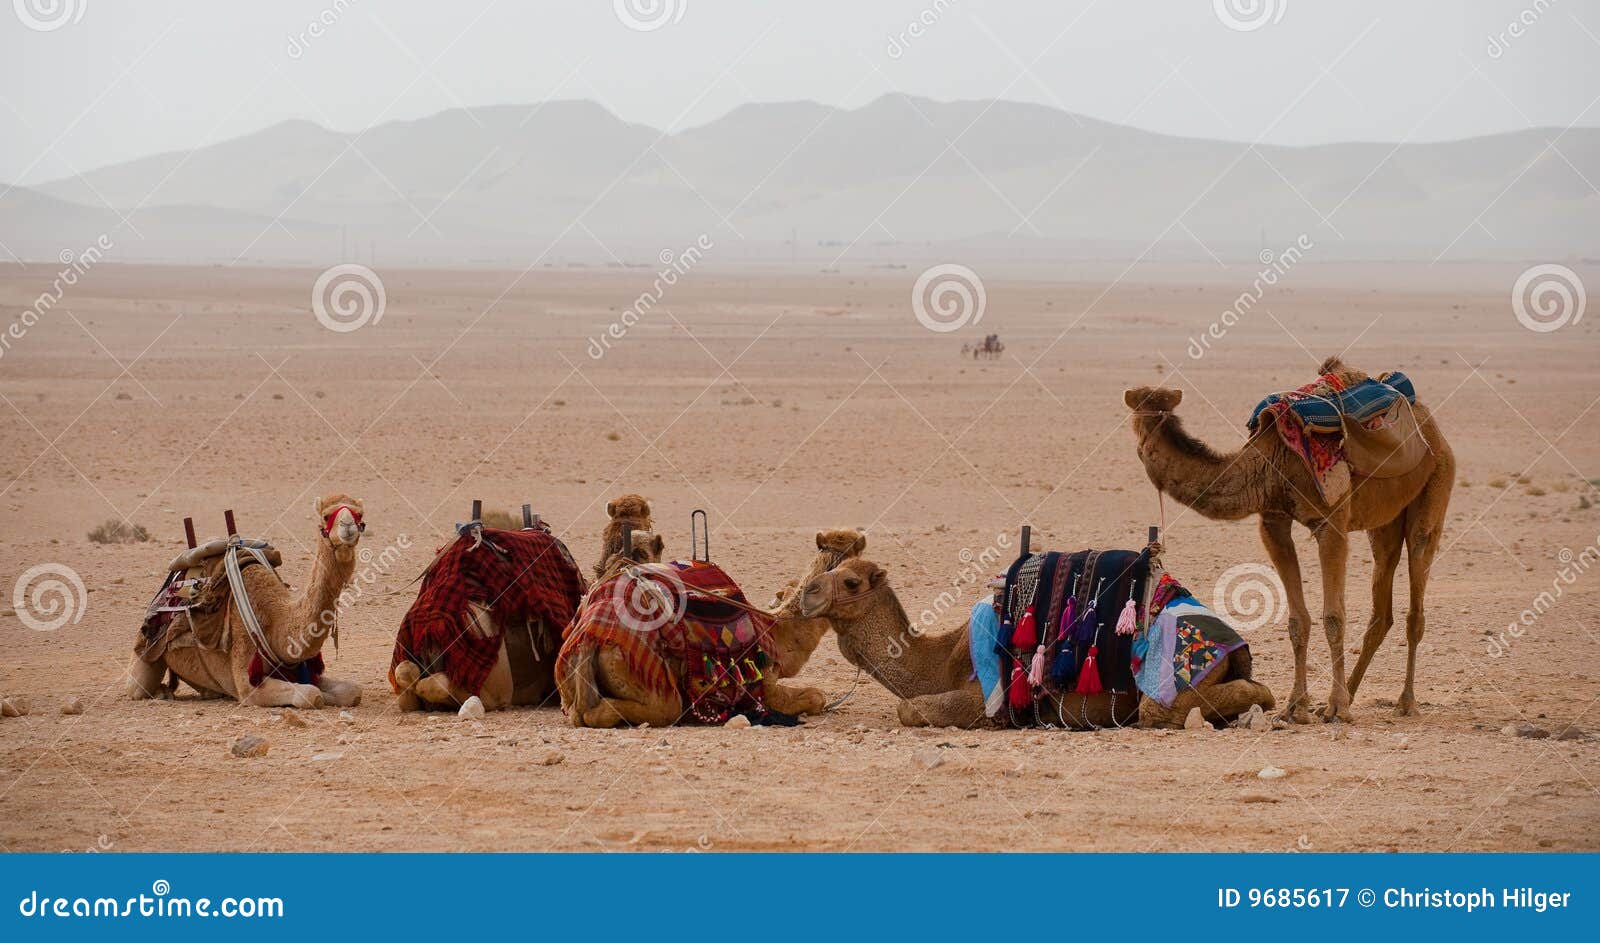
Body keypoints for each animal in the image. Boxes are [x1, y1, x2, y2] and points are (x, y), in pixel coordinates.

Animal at [126, 495, 366, 709]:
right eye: (326, 516)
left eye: (359, 514)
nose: (348, 526)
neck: (276, 619)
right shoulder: (246, 682)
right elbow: (311, 695)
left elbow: (353, 691)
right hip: (145, 651)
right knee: (137, 687)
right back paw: (162, 692)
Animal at [557, 529, 865, 728]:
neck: (774, 629)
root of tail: (589, 638)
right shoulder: (763, 684)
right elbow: (816, 696)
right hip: (643, 675)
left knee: (576, 711)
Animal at [799, 557, 1272, 728]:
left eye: (851, 581)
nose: (807, 591)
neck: (942, 660)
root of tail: (1236, 642)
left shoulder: (987, 693)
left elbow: (910, 709)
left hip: (1170, 677)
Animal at [1124, 357, 1454, 724]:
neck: (1269, 460)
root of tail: (1427, 420)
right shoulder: (1273, 521)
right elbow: (1297, 620)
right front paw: (1296, 707)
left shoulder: (1331, 522)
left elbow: (1334, 617)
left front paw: (1337, 708)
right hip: (1384, 522)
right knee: (1382, 601)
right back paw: (1352, 693)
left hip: (1437, 484)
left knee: (1416, 600)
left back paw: (1404, 702)